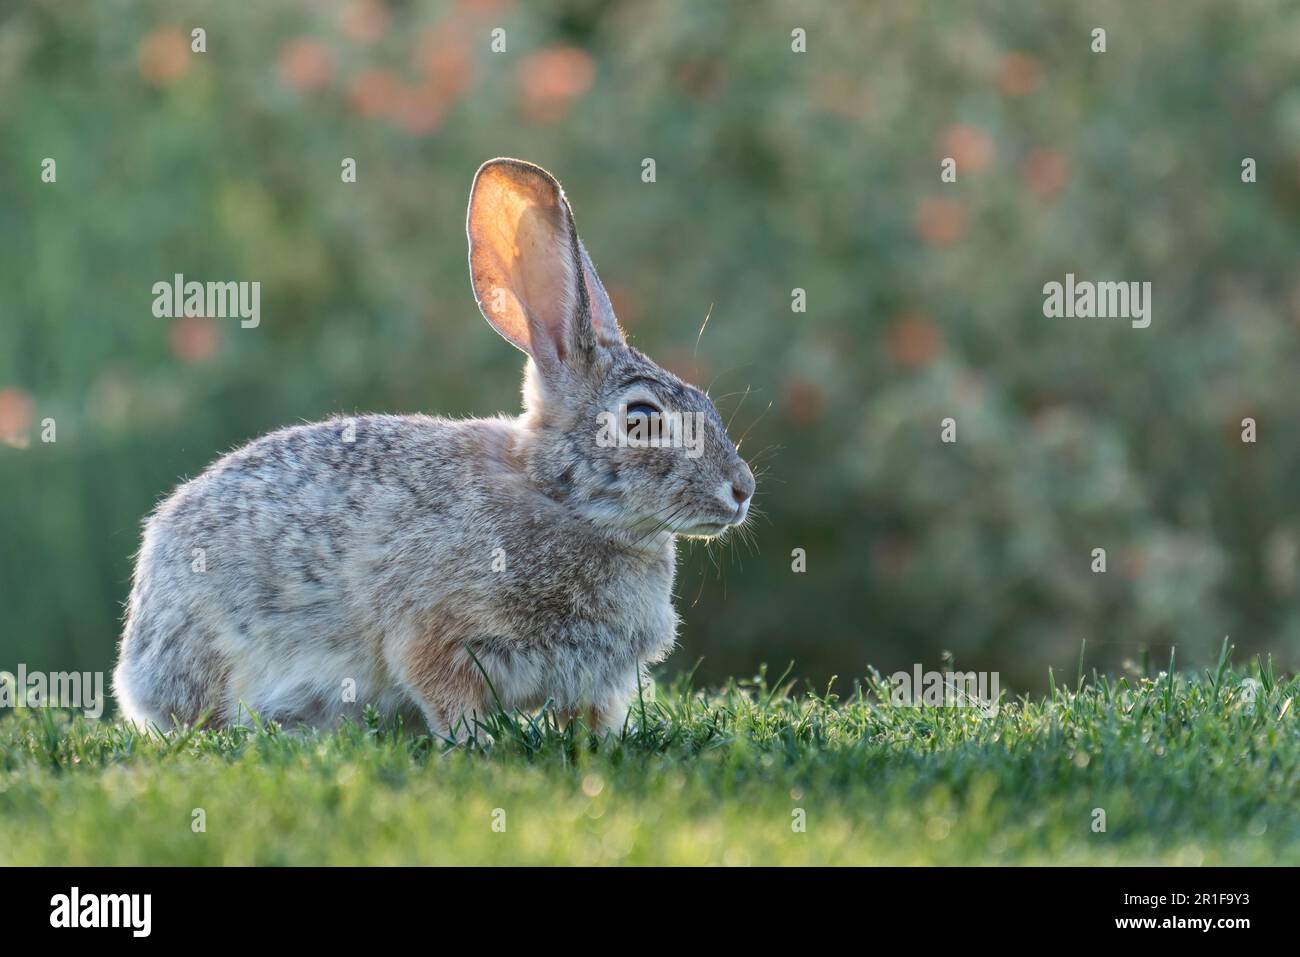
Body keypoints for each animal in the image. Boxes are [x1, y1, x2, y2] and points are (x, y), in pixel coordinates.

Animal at [112, 158, 756, 738]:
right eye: (642, 419)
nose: (742, 489)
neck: (562, 498)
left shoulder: (597, 680)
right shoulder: (433, 636)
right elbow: (448, 696)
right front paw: (476, 745)